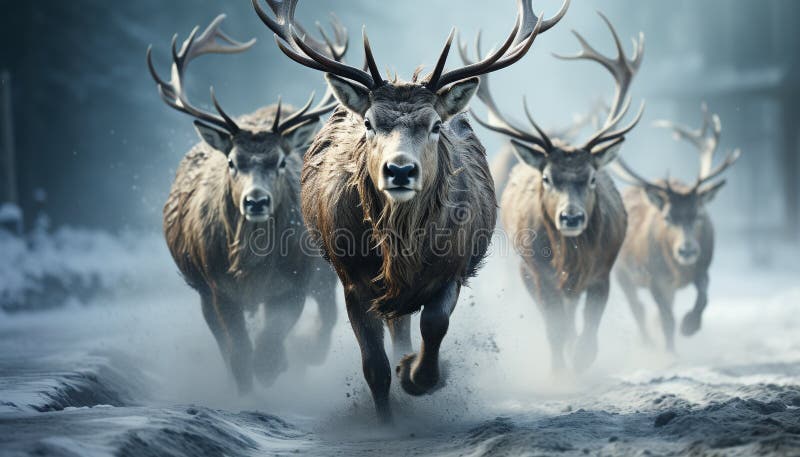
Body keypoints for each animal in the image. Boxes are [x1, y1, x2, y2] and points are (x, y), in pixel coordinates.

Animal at [148, 14, 346, 394]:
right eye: (232, 162)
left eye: (281, 162)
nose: (256, 201)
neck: (250, 267)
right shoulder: (214, 288)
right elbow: (236, 350)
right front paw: (247, 388)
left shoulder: (295, 280)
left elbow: (272, 338)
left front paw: (273, 365)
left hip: (323, 269)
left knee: (328, 317)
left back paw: (304, 352)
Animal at [253, 0, 569, 421]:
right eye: (369, 123)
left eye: (435, 125)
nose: (400, 170)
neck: (400, 249)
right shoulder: (353, 278)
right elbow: (374, 367)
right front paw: (388, 419)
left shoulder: (452, 267)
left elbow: (434, 326)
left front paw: (418, 375)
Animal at [466, 12, 644, 372]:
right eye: (547, 178)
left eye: (592, 178)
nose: (571, 217)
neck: (568, 255)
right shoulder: (538, 273)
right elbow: (555, 330)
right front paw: (559, 372)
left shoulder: (602, 272)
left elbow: (588, 333)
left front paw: (579, 361)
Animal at [614, 104, 741, 351]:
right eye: (667, 217)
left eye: (699, 215)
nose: (687, 250)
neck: (678, 268)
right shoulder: (653, 276)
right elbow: (667, 319)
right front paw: (670, 352)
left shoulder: (703, 267)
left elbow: (703, 298)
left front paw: (690, 325)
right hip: (620, 271)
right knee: (637, 307)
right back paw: (647, 343)